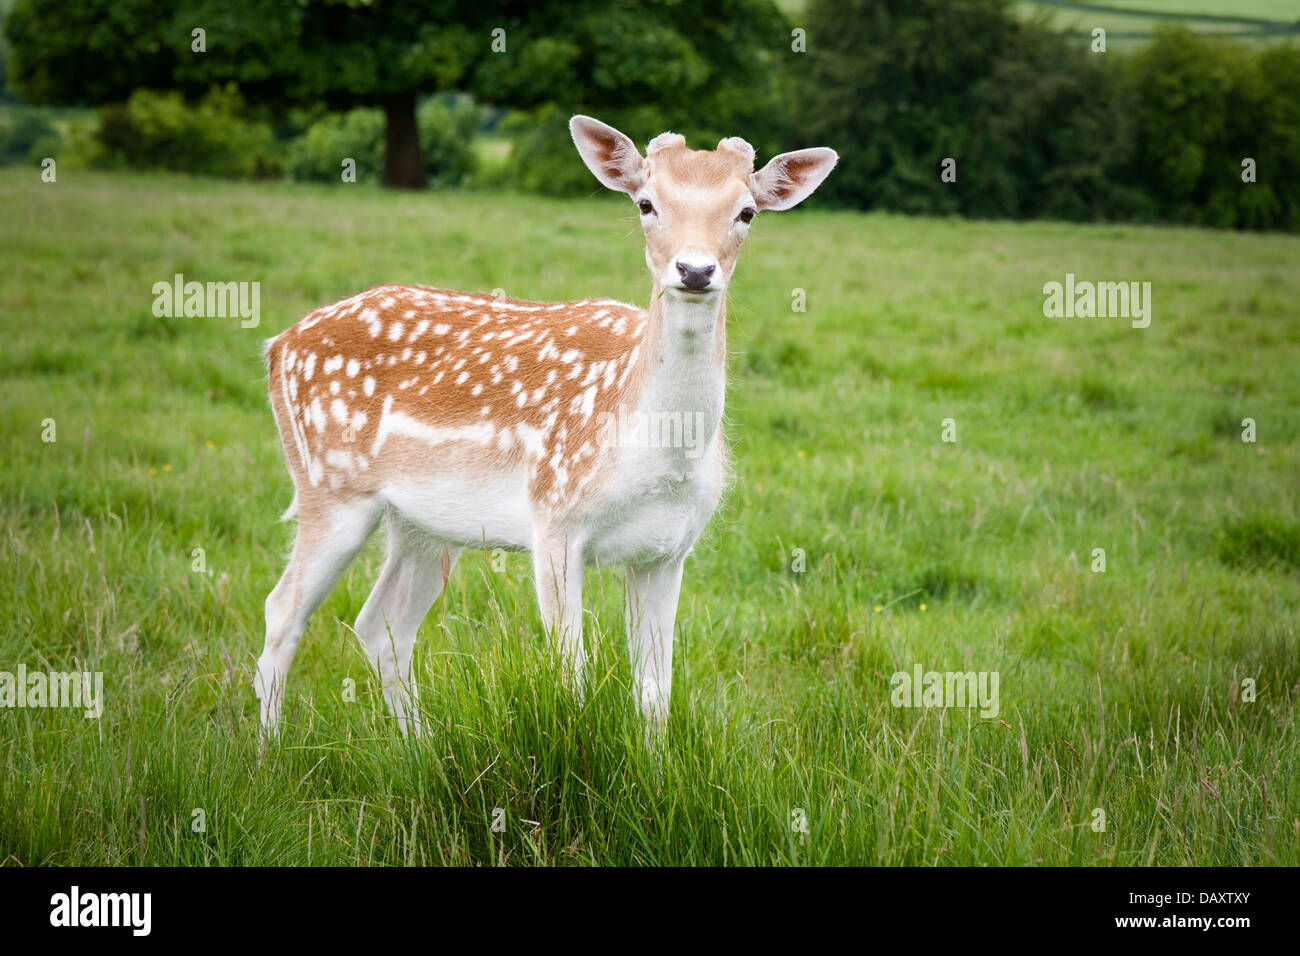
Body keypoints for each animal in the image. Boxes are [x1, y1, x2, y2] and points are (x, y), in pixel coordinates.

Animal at [254, 115, 837, 743]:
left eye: (746, 211)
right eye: (646, 202)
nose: (695, 270)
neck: (656, 457)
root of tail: (277, 345)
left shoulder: (668, 551)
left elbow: (656, 693)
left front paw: (655, 762)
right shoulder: (554, 519)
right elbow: (571, 676)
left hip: (421, 523)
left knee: (382, 622)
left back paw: (417, 748)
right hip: (328, 486)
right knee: (282, 611)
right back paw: (267, 752)